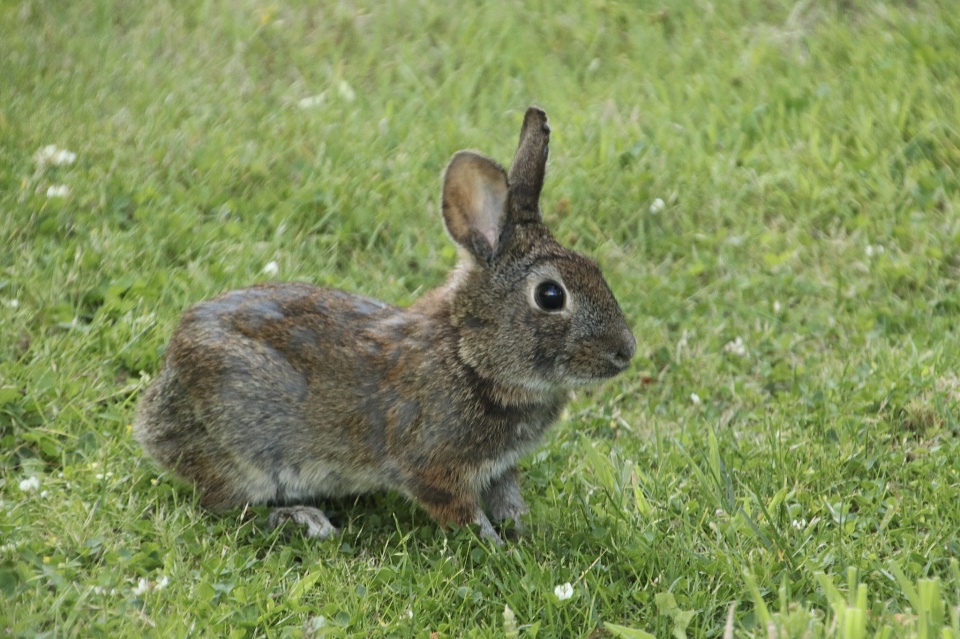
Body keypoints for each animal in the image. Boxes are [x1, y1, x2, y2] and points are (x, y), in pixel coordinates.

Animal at [134, 107, 636, 544]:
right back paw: (304, 519)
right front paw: (496, 547)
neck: (468, 355)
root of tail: (156, 405)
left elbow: (508, 499)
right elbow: (461, 512)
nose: (625, 351)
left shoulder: (499, 467)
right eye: (550, 296)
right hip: (244, 447)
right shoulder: (435, 467)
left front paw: (525, 533)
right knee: (226, 507)